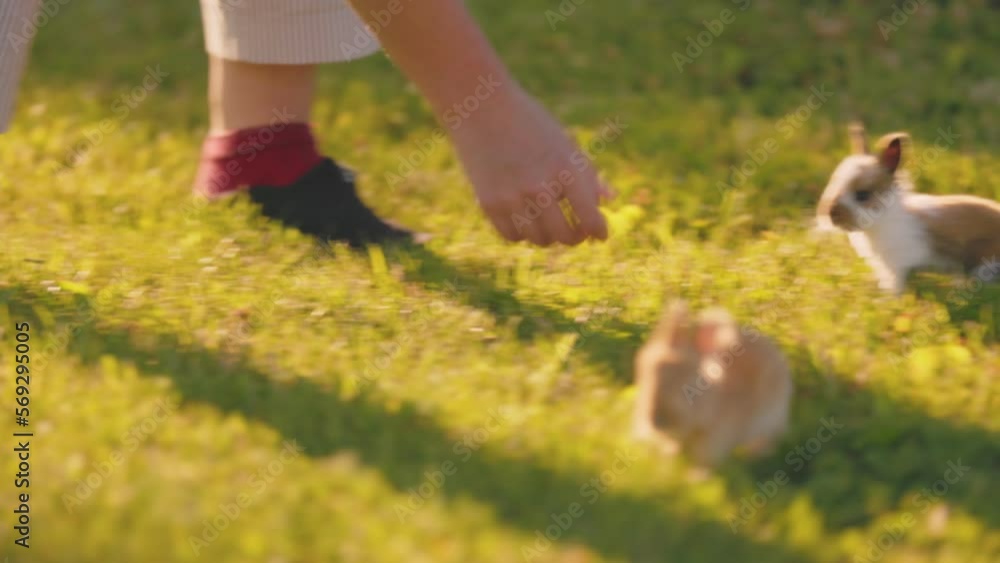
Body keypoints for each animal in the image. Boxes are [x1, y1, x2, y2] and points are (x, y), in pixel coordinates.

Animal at [816, 123, 1000, 294]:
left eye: (862, 195)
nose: (829, 214)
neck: (883, 220)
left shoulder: (896, 267)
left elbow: (895, 285)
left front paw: (888, 299)